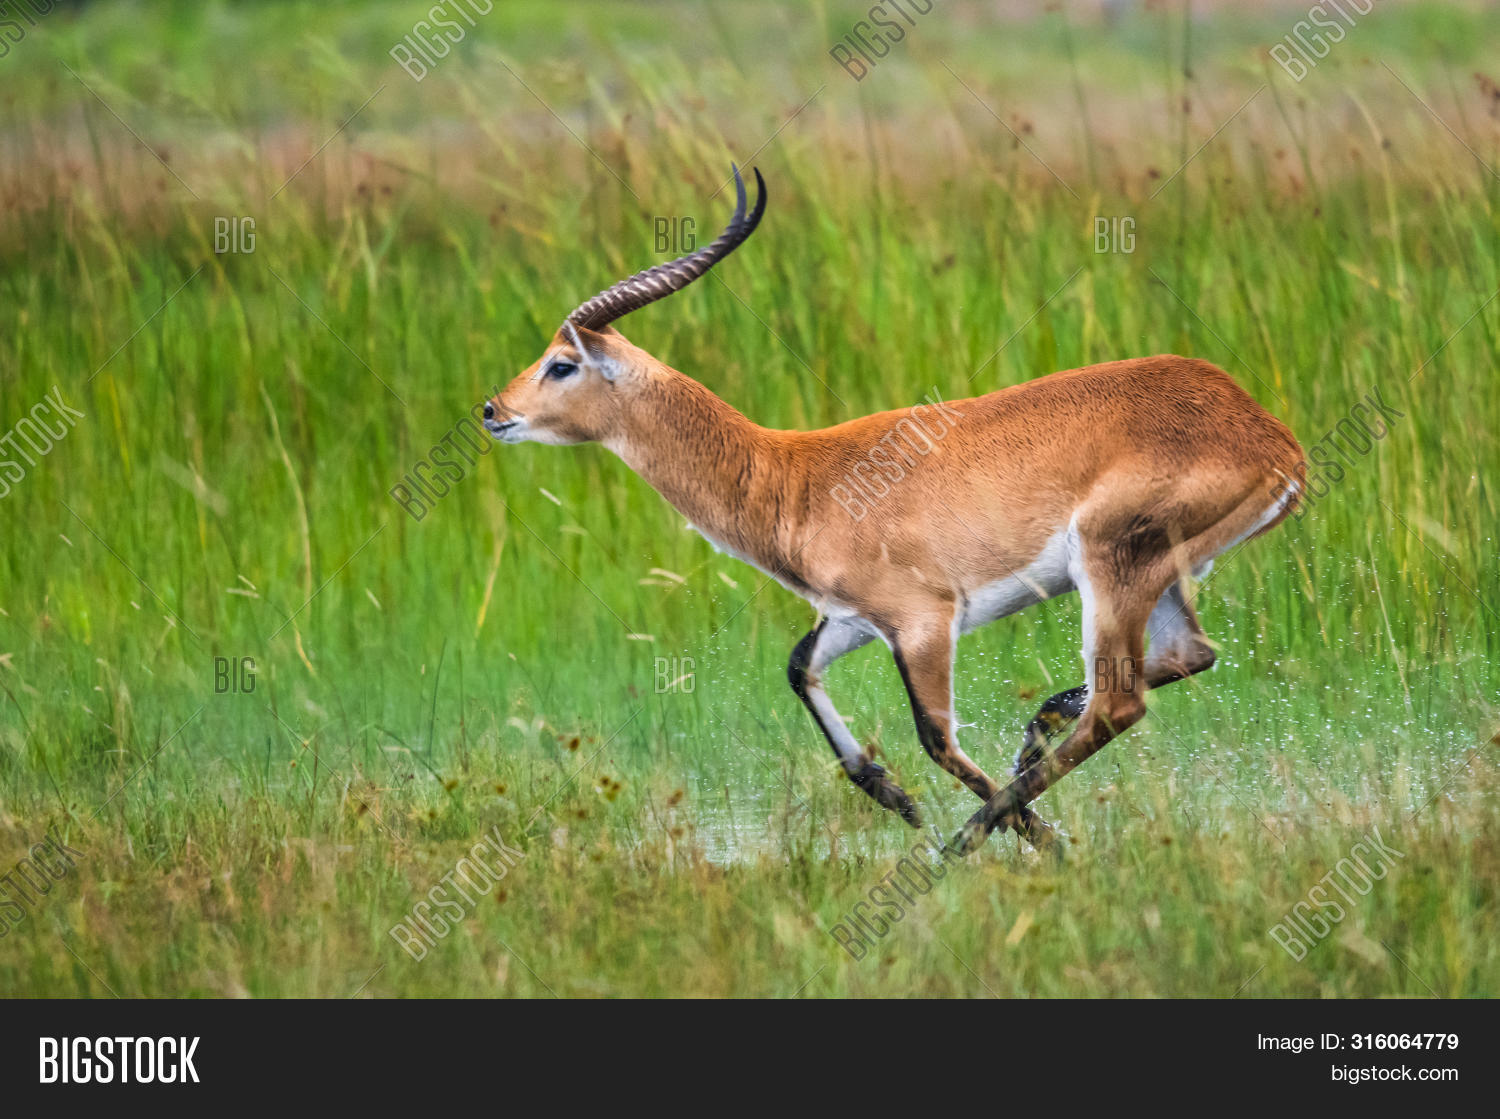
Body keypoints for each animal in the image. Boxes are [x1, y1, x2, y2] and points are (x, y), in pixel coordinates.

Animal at [484, 166, 1305, 855]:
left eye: (563, 363)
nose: (492, 410)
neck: (796, 478)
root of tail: (1268, 432)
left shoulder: (923, 621)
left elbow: (935, 737)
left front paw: (1025, 838)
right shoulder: (853, 617)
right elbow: (798, 667)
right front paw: (897, 798)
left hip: (1110, 568)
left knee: (1118, 703)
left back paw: (978, 836)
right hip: (1163, 576)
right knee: (1184, 658)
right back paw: (1029, 745)